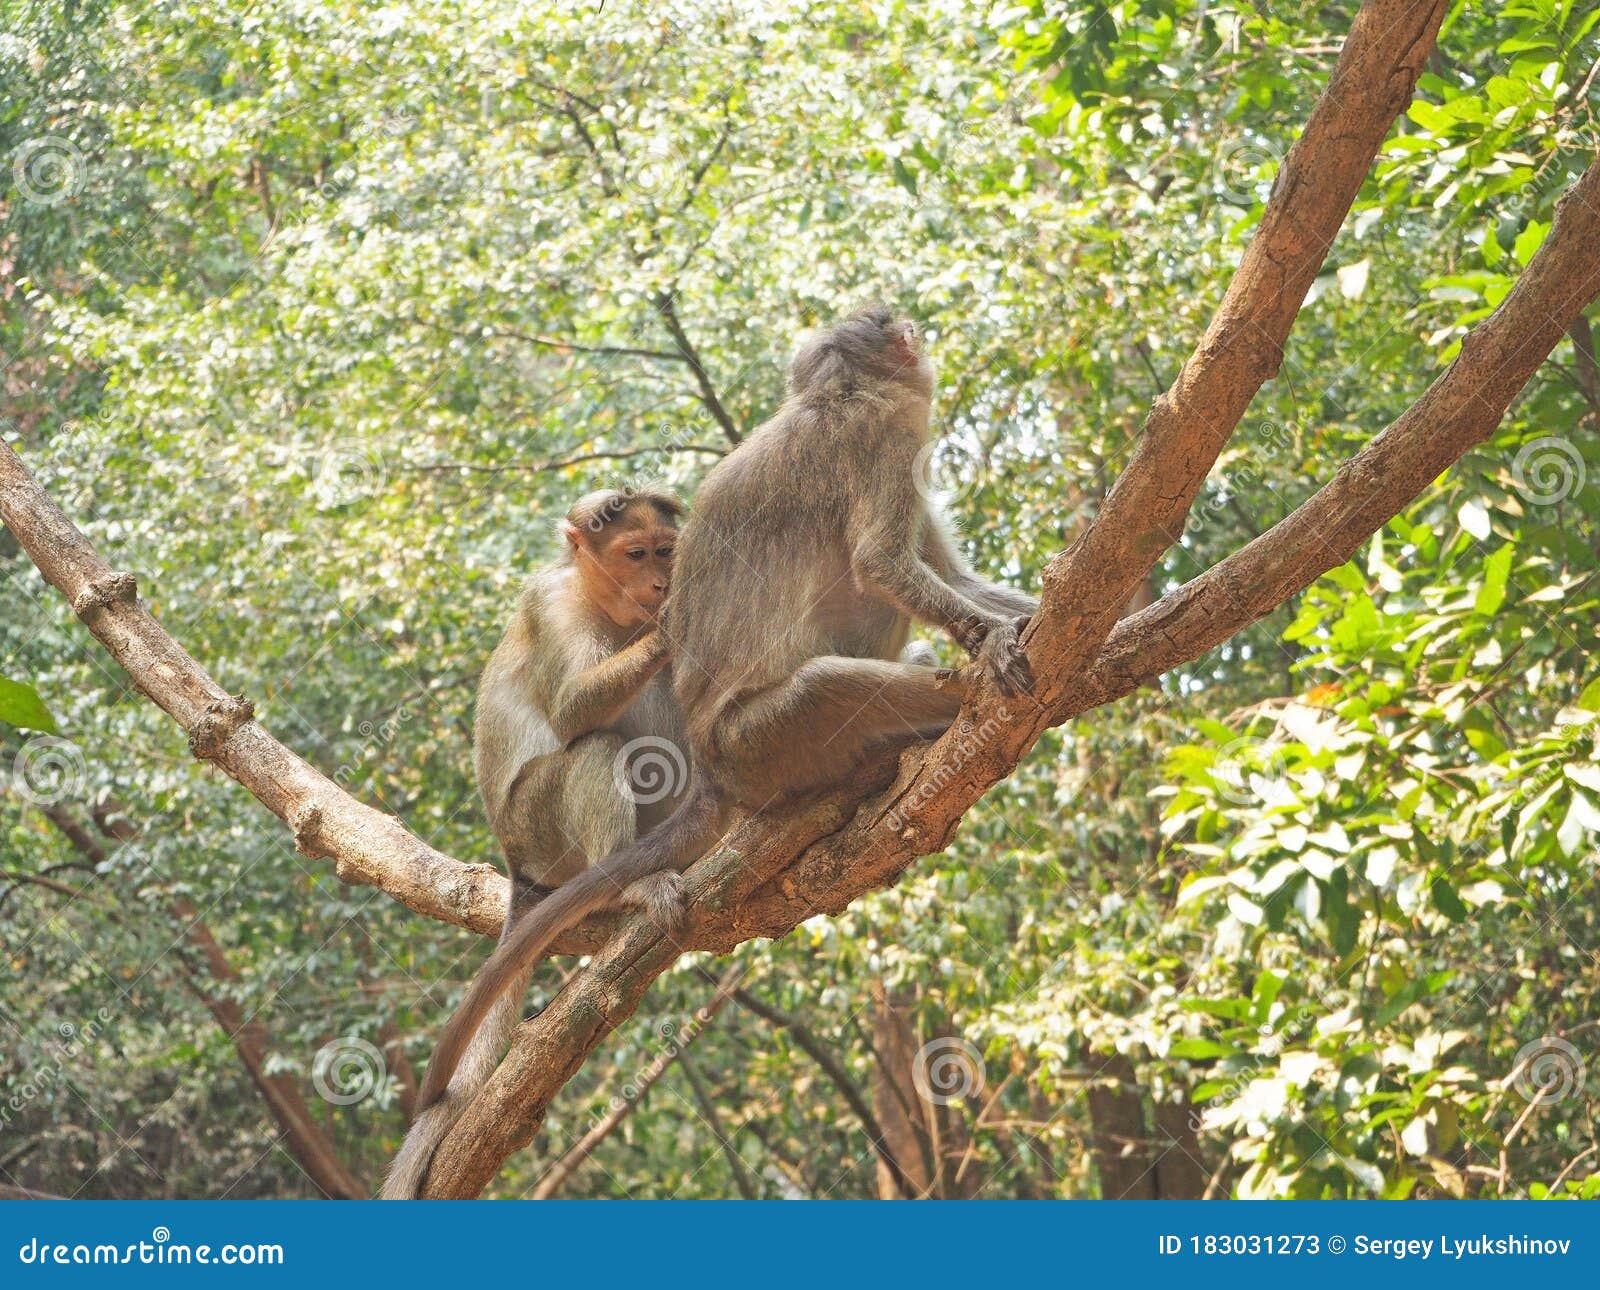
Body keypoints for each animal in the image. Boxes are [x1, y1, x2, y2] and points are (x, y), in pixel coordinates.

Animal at [382, 485, 689, 1199]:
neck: (598, 599)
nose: (662, 583)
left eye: (664, 550)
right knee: (595, 747)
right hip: (539, 830)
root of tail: (518, 866)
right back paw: (628, 883)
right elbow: (576, 712)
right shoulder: (551, 611)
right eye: (636, 554)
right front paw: (669, 624)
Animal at [410, 306, 1038, 1118]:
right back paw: (938, 710)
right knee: (817, 684)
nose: (910, 329)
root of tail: (716, 773)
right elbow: (881, 566)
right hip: (761, 743)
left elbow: (952, 576)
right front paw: (993, 647)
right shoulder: (883, 441)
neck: (837, 393)